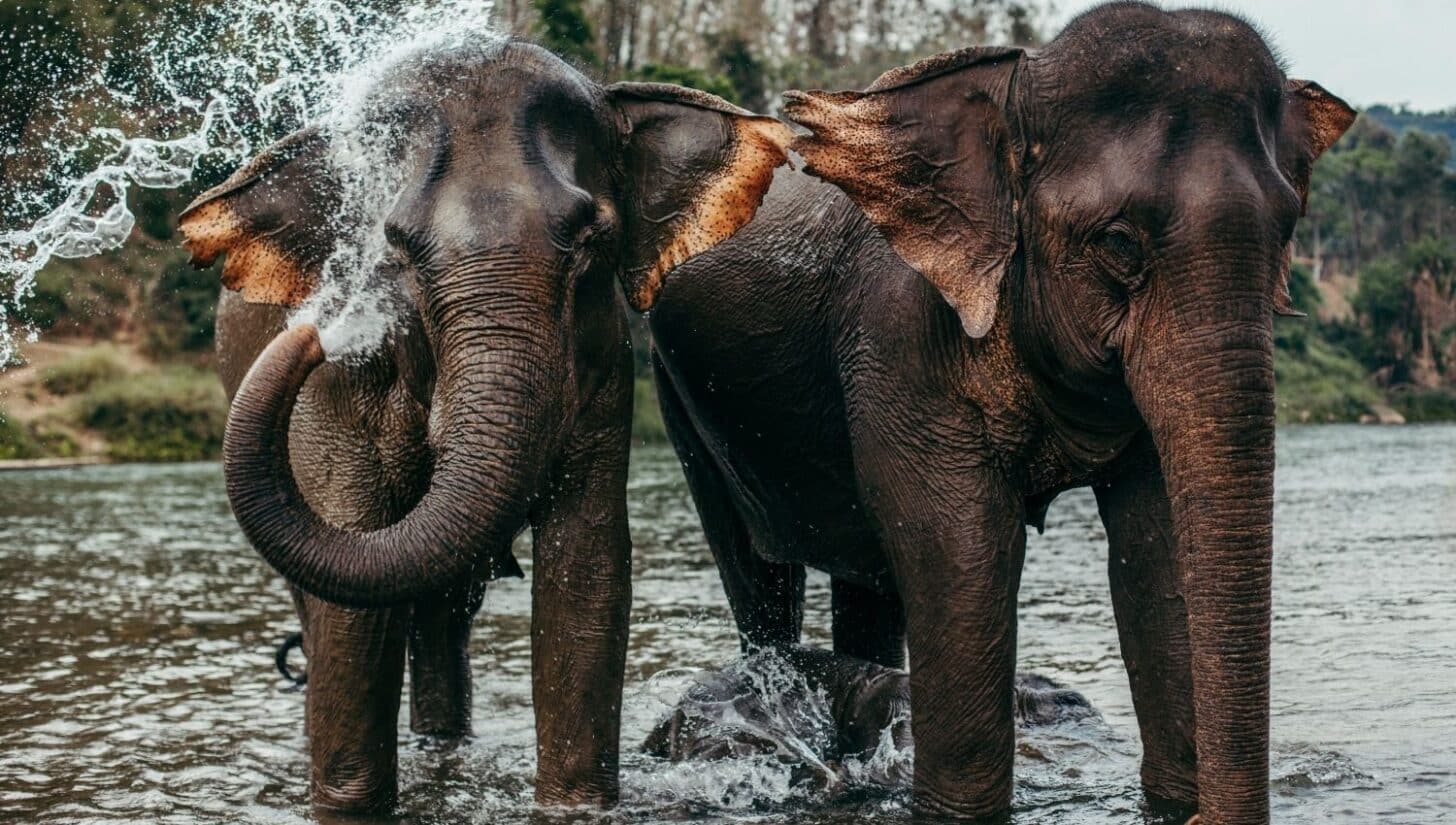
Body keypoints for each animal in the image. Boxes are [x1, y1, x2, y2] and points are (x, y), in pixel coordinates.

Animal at [177, 39, 791, 814]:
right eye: (395, 247)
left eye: (590, 239)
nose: (317, 331)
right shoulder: (337, 393)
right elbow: (352, 598)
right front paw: (347, 806)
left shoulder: (603, 366)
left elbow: (586, 569)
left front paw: (574, 806)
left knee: (442, 614)